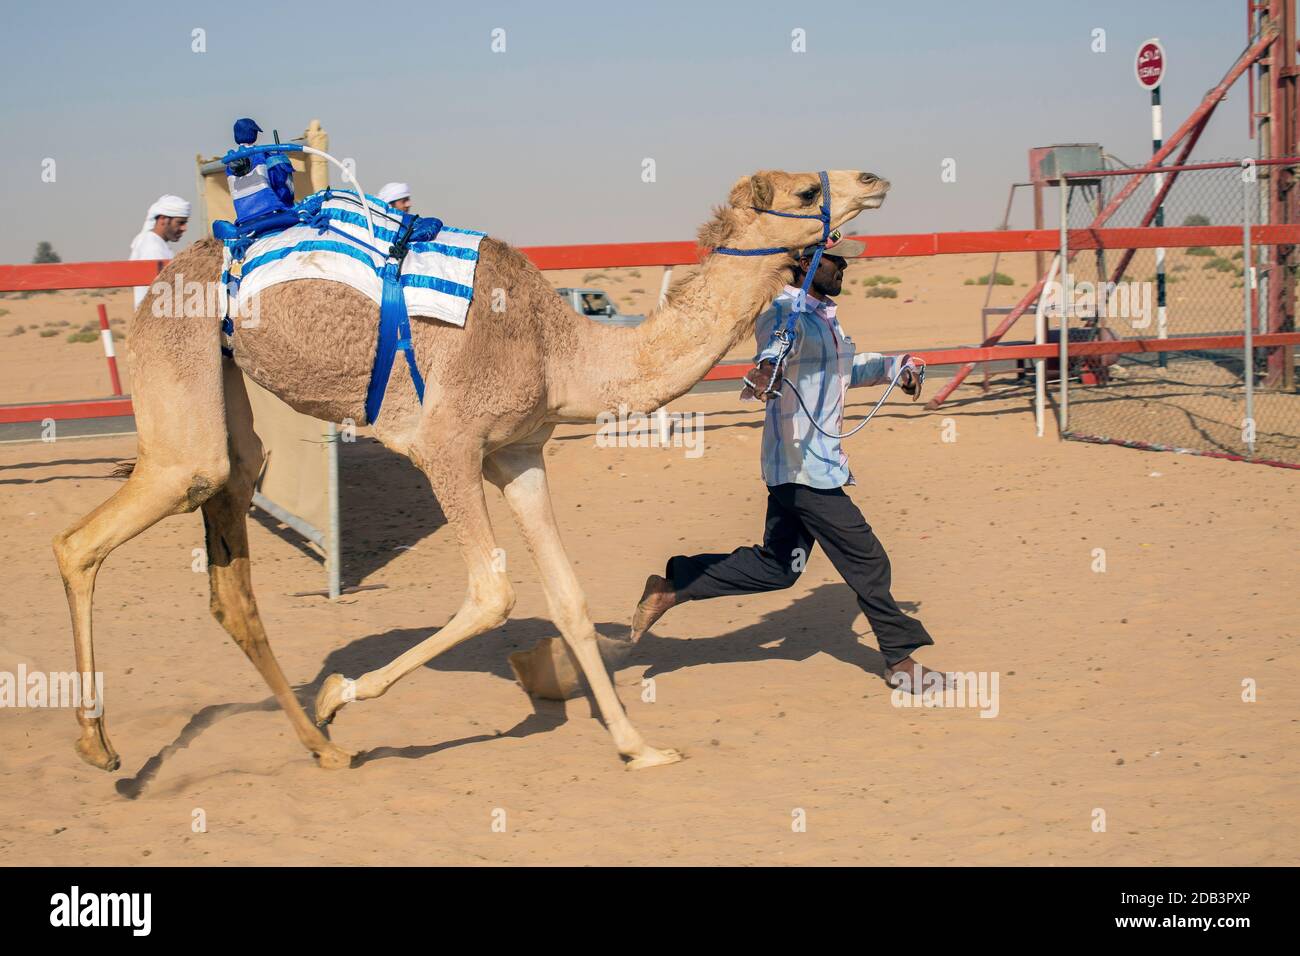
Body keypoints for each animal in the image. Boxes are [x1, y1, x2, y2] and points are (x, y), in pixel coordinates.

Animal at [53, 168, 890, 773]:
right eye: (807, 193)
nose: (874, 177)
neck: (561, 350)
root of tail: (169, 276)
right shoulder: (446, 445)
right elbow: (493, 592)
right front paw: (344, 692)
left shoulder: (516, 454)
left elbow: (569, 599)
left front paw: (640, 748)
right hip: (180, 370)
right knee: (88, 536)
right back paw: (103, 746)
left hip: (229, 408)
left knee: (231, 569)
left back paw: (319, 745)